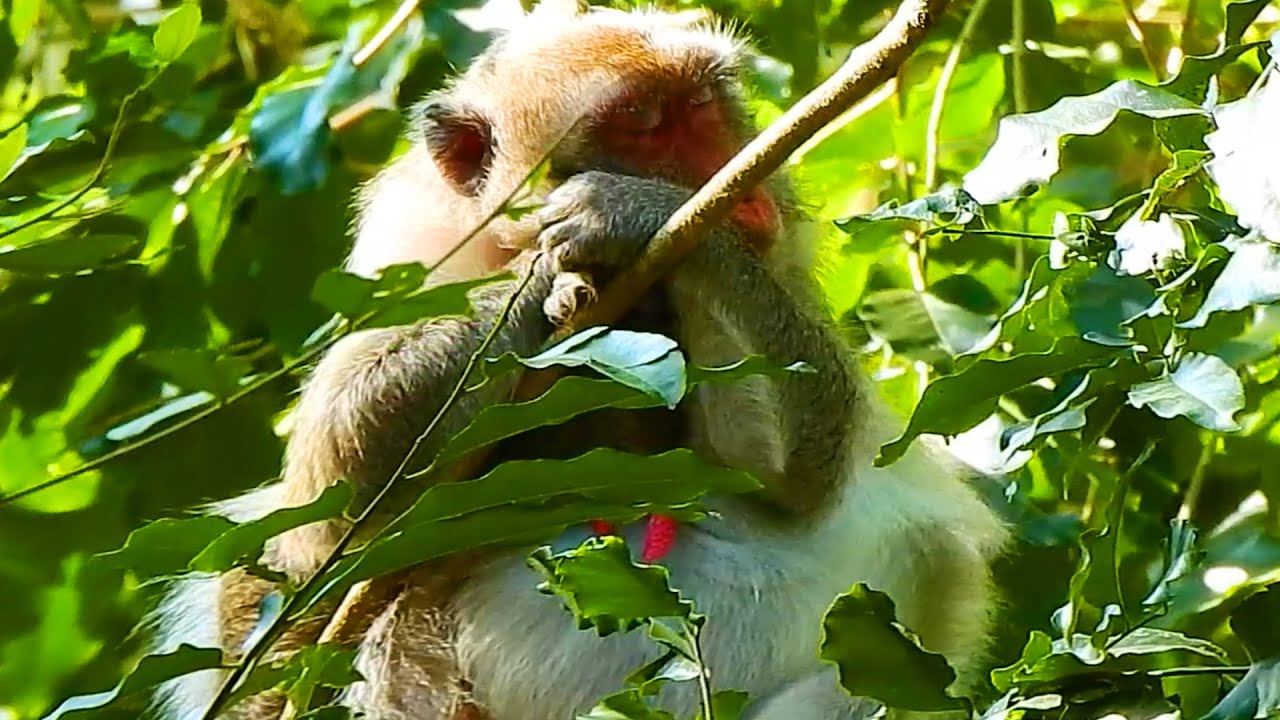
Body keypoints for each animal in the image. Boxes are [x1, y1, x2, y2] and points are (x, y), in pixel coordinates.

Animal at [150, 2, 1009, 719]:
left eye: (705, 109)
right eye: (642, 125)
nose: (743, 191)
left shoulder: (778, 271)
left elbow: (793, 468)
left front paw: (634, 215)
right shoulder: (407, 261)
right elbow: (325, 514)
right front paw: (546, 282)